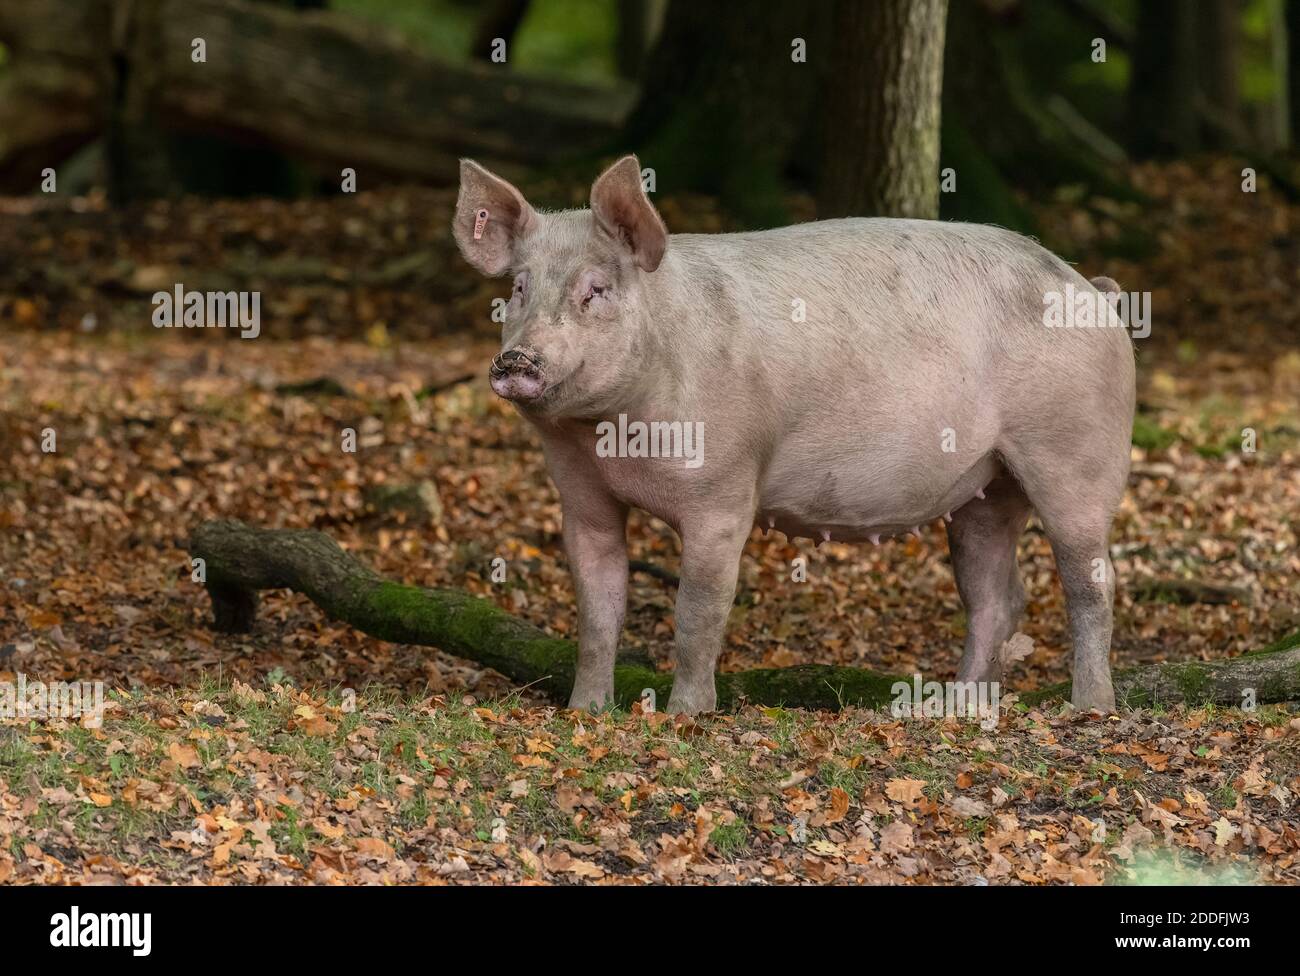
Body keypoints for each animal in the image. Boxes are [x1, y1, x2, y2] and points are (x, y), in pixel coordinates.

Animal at [453, 155, 1135, 715]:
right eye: (519, 288)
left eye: (595, 290)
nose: (517, 359)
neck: (609, 439)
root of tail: (1095, 291)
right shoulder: (580, 495)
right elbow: (596, 610)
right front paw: (585, 713)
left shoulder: (724, 488)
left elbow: (698, 610)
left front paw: (684, 716)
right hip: (986, 487)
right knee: (997, 595)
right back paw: (955, 708)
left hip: (1074, 453)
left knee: (1091, 580)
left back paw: (1089, 707)